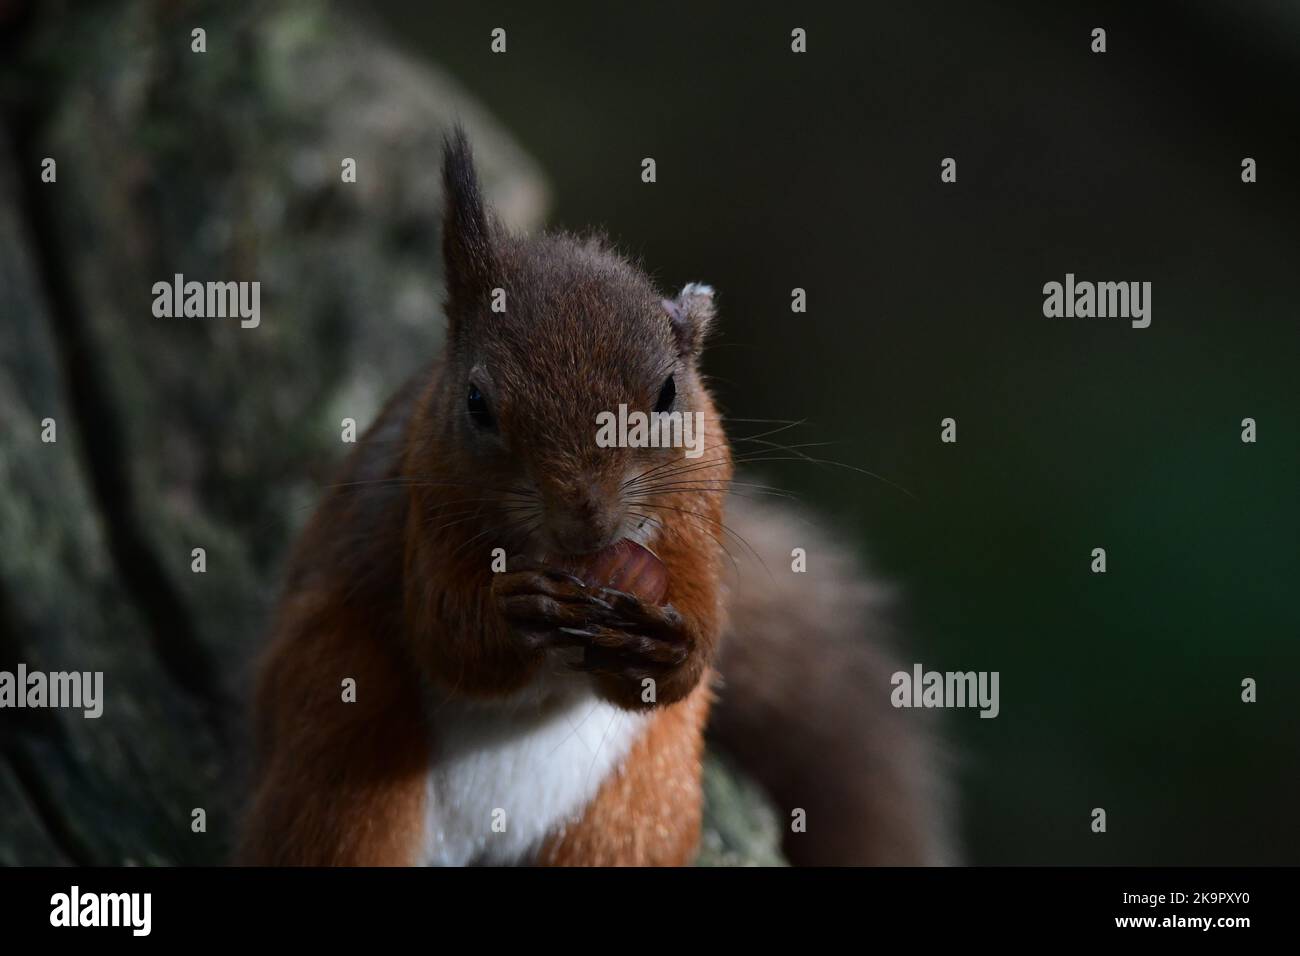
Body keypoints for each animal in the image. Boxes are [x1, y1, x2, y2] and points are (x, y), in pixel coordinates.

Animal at [237, 129, 952, 866]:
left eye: (668, 394)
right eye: (476, 402)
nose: (587, 518)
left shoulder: (696, 519)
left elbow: (695, 649)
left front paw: (665, 645)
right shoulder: (422, 502)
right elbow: (445, 635)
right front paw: (517, 612)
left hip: (631, 812)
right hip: (343, 742)